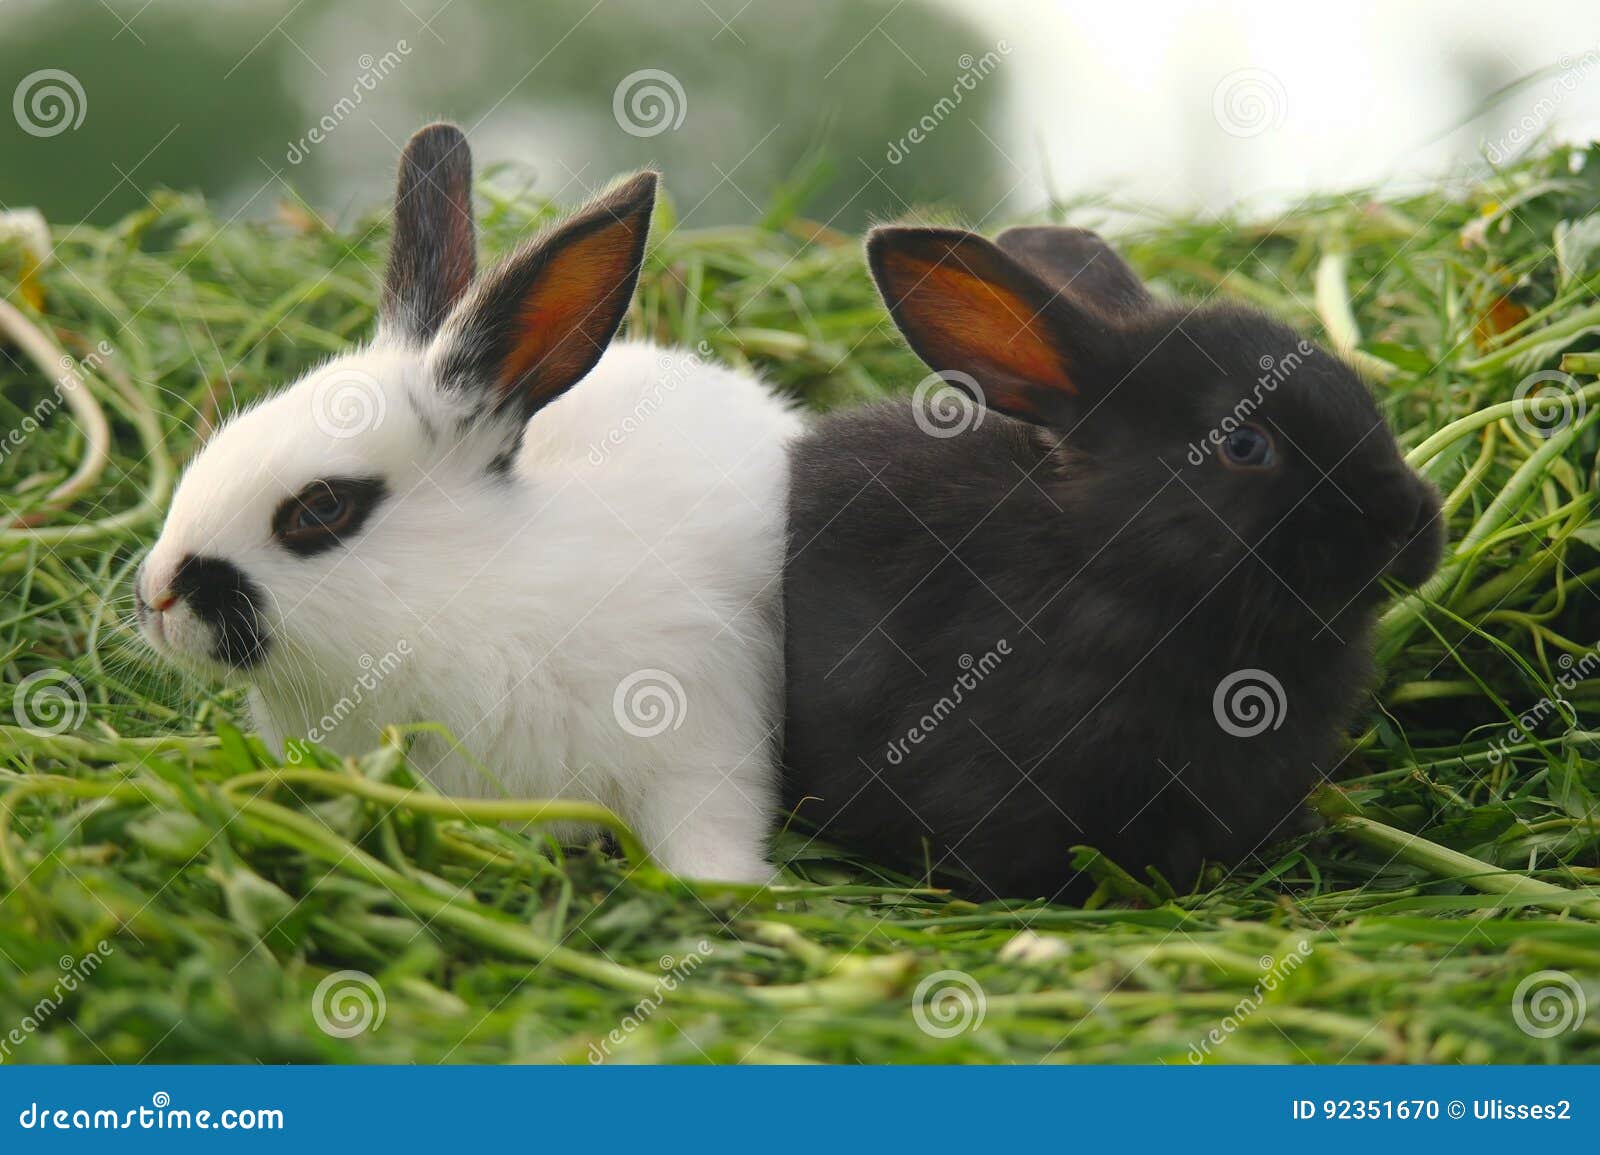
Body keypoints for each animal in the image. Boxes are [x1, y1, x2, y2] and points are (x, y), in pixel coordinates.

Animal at [135, 123, 803, 883]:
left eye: (323, 509)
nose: (156, 596)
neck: (465, 599)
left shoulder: (697, 736)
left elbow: (708, 828)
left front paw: (727, 886)